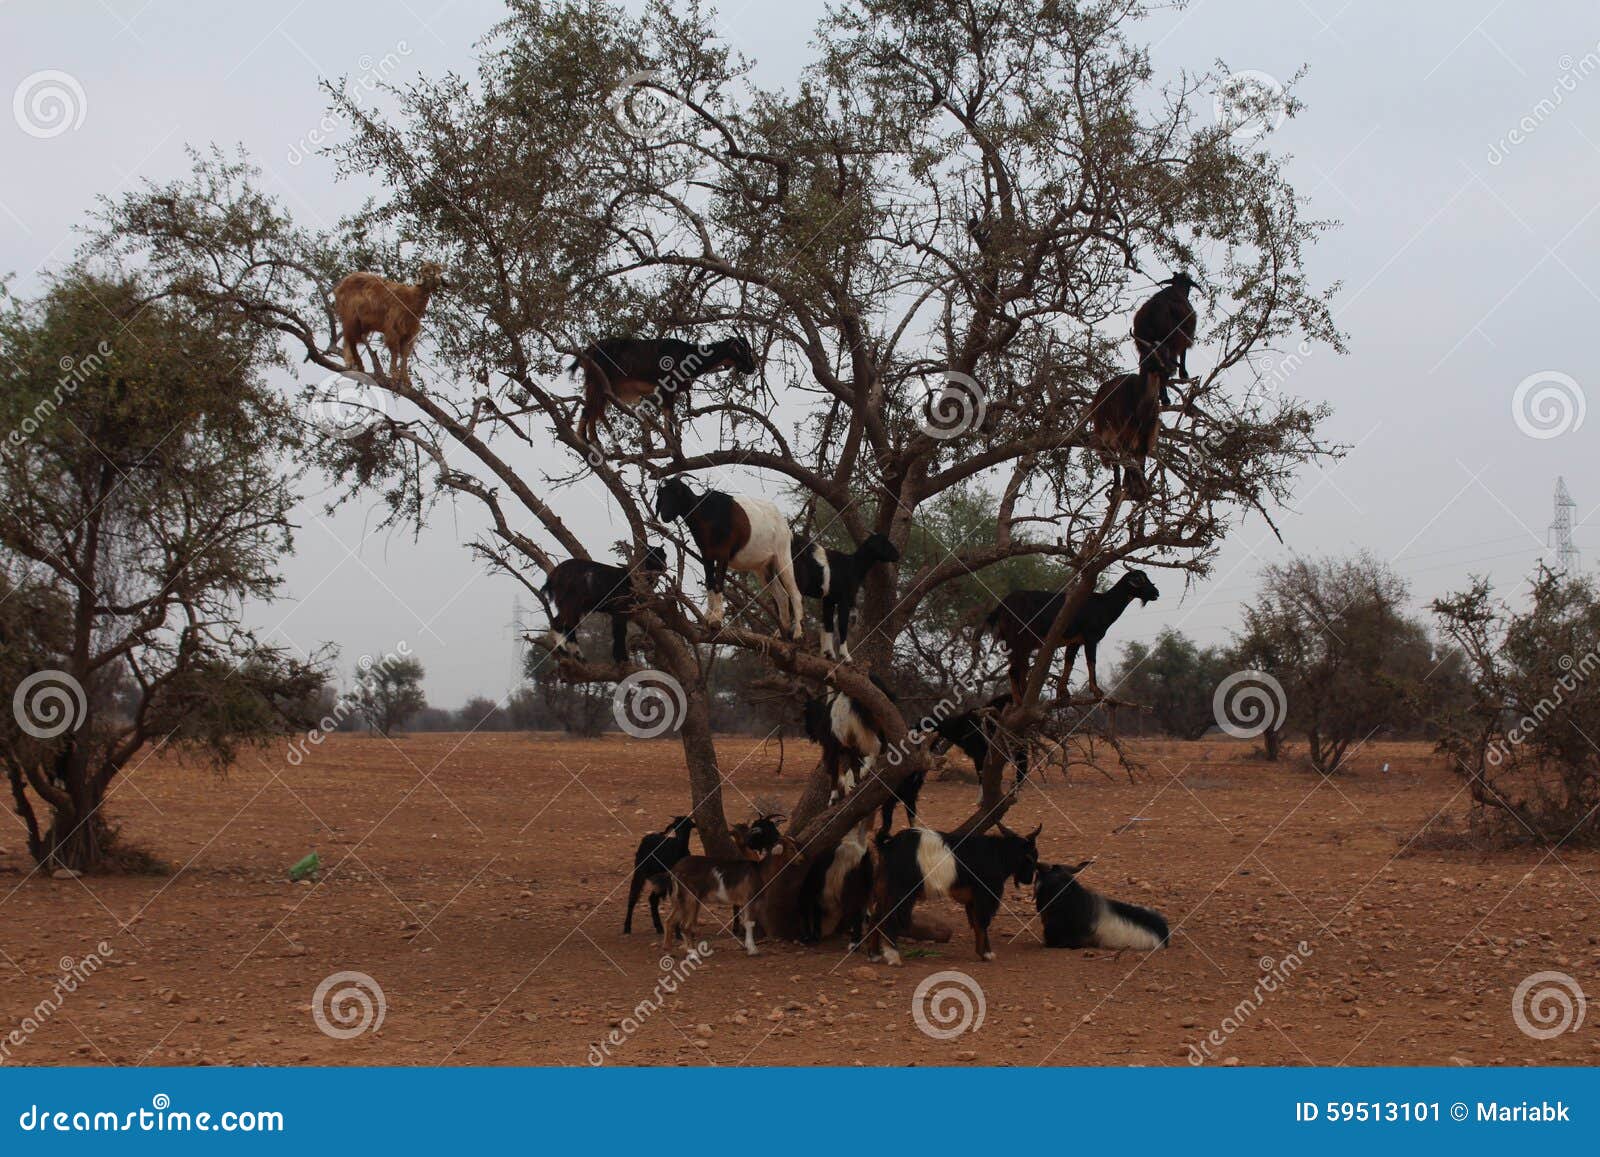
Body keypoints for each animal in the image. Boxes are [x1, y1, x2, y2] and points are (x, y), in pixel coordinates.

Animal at [573, 336, 756, 449]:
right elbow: (667, 412)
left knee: (597, 409)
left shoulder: (670, 390)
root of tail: (588, 351)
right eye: (740, 350)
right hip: (596, 380)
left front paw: (671, 441)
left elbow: (669, 412)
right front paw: (671, 442)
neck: (688, 353)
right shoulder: (666, 386)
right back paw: (584, 438)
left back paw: (593, 440)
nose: (752, 368)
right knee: (589, 408)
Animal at [655, 478, 803, 640]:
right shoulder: (707, 555)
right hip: (763, 567)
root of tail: (784, 525)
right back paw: (780, 632)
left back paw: (797, 633)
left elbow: (719, 583)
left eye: (677, 492)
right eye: (661, 494)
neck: (707, 514)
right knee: (782, 595)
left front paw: (716, 620)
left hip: (782, 554)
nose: (665, 516)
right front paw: (707, 617)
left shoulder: (723, 554)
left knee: (795, 593)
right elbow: (709, 582)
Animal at [865, 824, 1041, 964]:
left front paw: (981, 953)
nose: (1028, 880)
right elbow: (982, 923)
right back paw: (893, 956)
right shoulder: (984, 895)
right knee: (890, 917)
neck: (998, 855)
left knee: (876, 917)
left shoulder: (972, 899)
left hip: (884, 889)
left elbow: (977, 924)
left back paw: (874, 955)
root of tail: (889, 846)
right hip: (902, 892)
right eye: (1032, 856)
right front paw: (987, 954)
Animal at [984, 570, 1160, 703]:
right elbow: (1091, 661)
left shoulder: (1074, 641)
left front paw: (1063, 693)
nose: (1156, 593)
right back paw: (1020, 701)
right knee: (1015, 670)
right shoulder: (1090, 638)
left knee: (1019, 668)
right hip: (1019, 640)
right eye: (1140, 580)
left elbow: (1069, 662)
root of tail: (1000, 607)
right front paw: (1097, 691)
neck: (1103, 604)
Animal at [1088, 346, 1173, 501]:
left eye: (1166, 353)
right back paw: (1117, 487)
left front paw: (1140, 489)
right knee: (1116, 458)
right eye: (1151, 354)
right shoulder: (1123, 431)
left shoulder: (1147, 435)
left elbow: (1140, 460)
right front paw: (1132, 488)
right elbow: (1125, 458)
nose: (1169, 369)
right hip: (1105, 429)